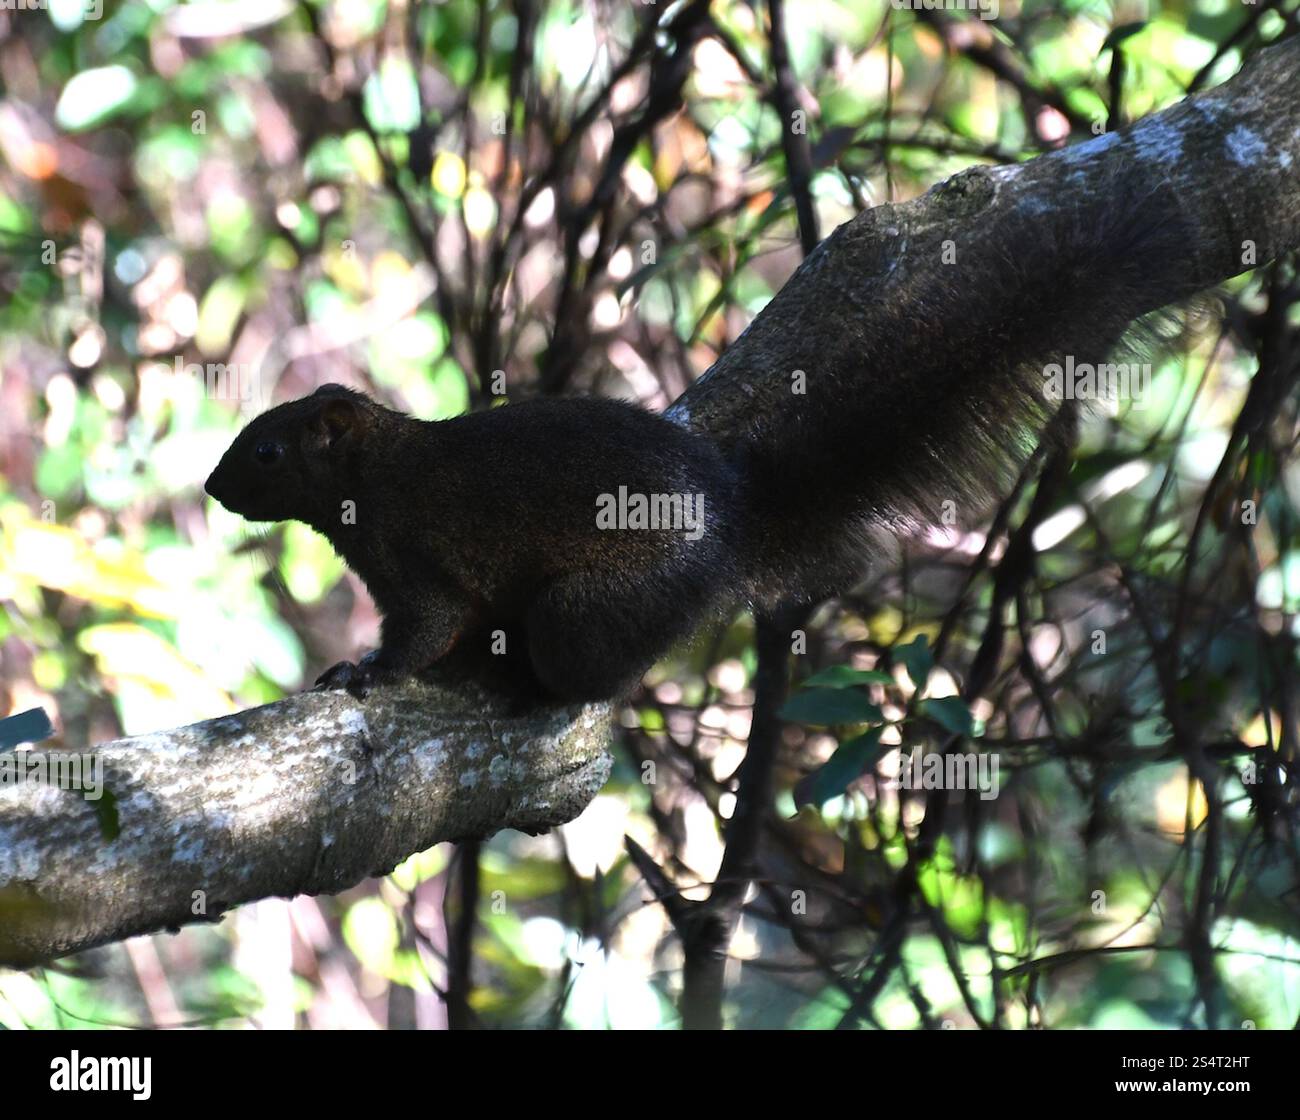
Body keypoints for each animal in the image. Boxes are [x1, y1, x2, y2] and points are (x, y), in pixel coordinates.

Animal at [206, 179, 1197, 704]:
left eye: (268, 451)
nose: (214, 488)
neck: (376, 473)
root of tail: (731, 516)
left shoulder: (413, 556)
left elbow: (426, 630)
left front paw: (361, 671)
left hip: (596, 601)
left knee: (588, 669)